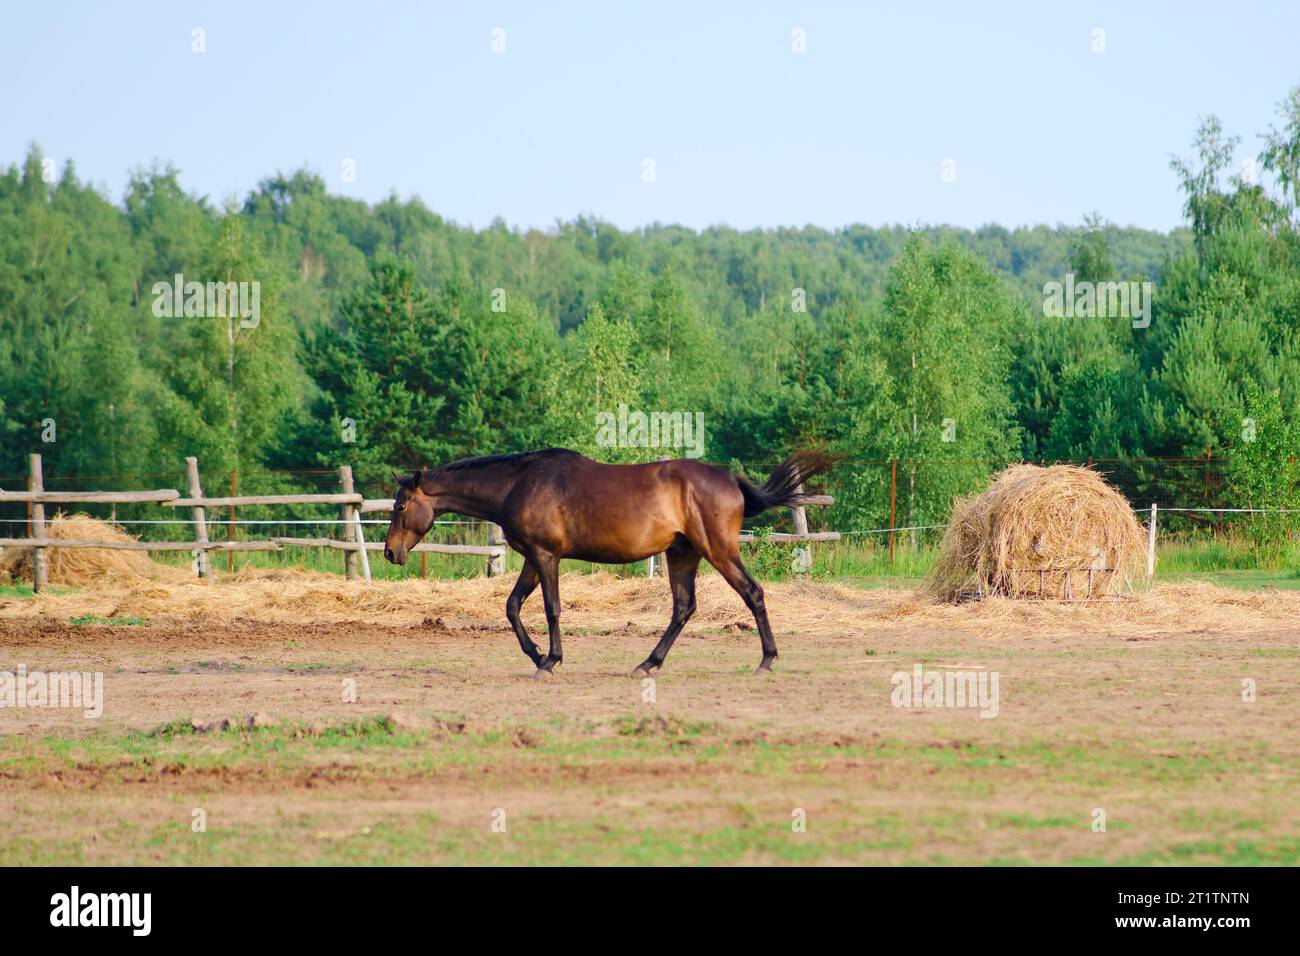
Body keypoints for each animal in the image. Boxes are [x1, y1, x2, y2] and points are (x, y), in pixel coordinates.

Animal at [382, 448, 835, 676]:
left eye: (401, 505)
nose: (389, 552)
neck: (518, 483)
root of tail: (730, 480)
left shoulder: (546, 556)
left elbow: (551, 608)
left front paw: (550, 661)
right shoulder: (532, 558)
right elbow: (512, 607)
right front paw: (537, 656)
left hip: (718, 552)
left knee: (752, 593)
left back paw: (766, 660)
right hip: (682, 554)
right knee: (683, 608)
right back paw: (648, 664)